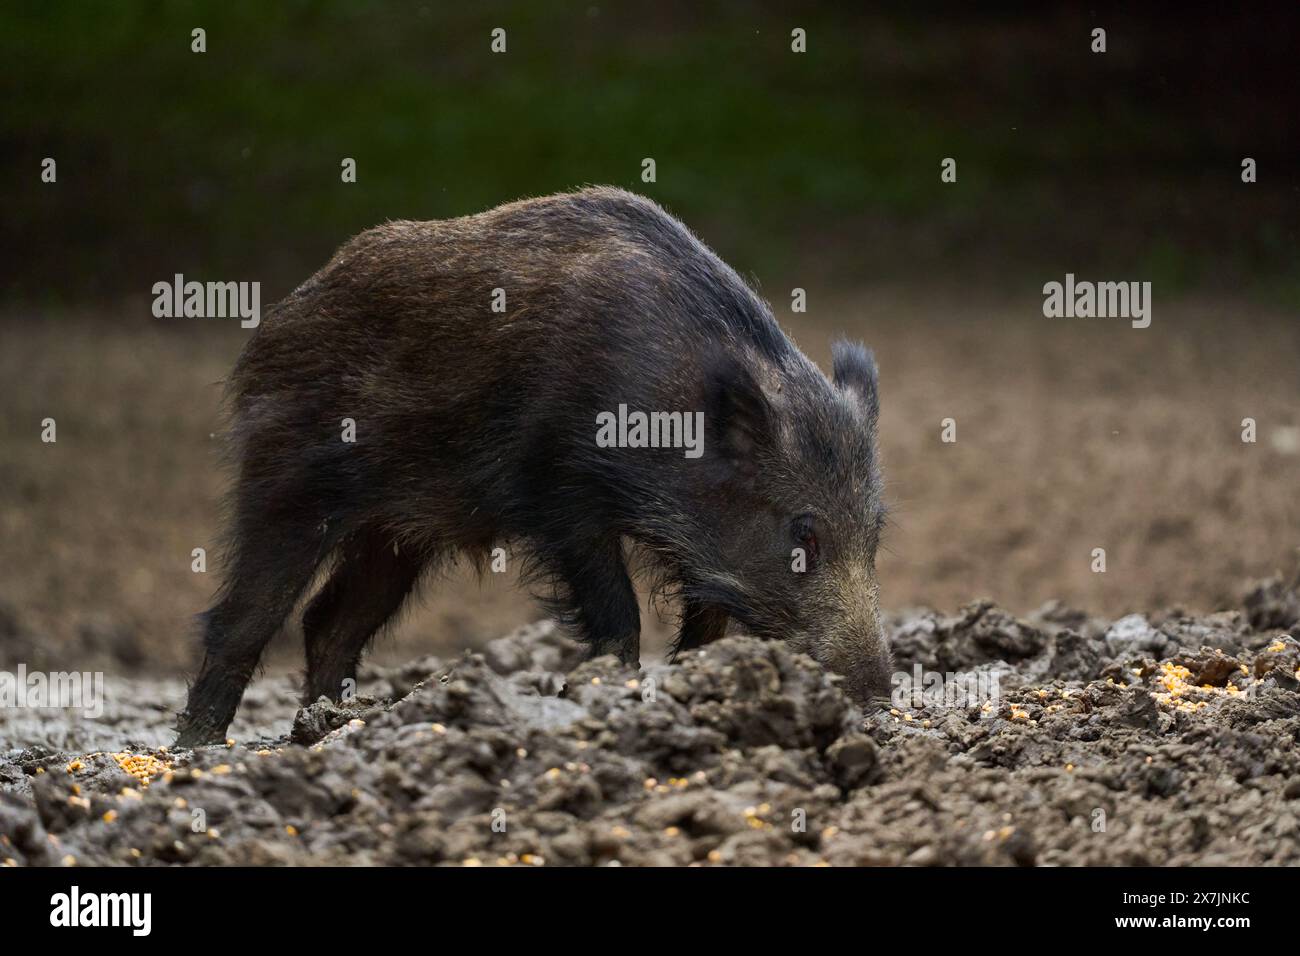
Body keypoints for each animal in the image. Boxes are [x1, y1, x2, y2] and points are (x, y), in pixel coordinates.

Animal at [175, 187, 890, 747]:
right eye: (804, 533)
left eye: (875, 535)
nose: (880, 705)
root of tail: (276, 323)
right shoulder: (558, 494)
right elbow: (618, 611)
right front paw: (612, 687)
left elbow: (707, 619)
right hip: (286, 476)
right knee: (244, 617)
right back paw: (198, 748)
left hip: (397, 534)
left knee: (330, 620)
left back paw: (330, 728)